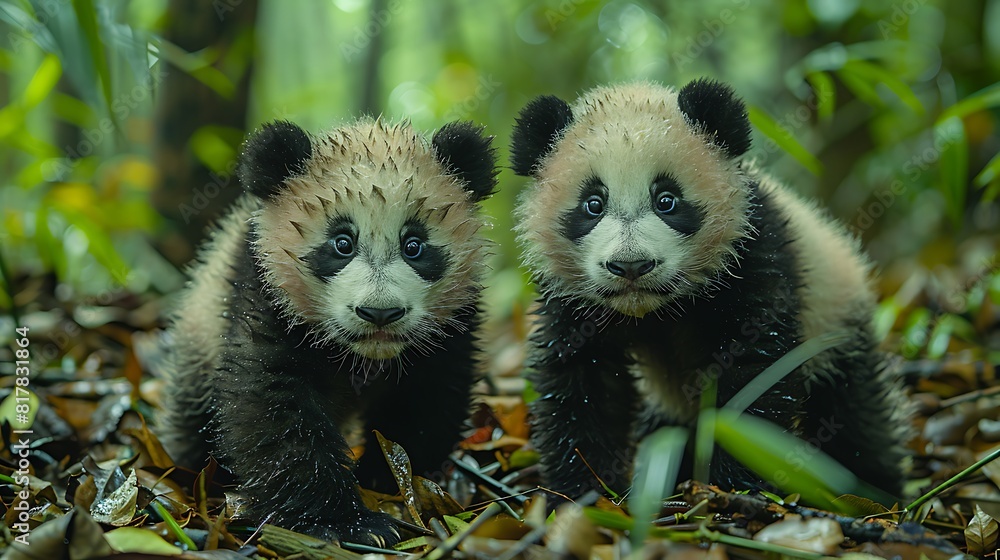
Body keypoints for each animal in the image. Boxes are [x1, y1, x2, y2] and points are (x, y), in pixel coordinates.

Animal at [156, 117, 497, 546]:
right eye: (342, 244)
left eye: (414, 245)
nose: (380, 313)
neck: (365, 357)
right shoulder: (267, 297)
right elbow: (273, 403)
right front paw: (349, 523)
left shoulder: (450, 327)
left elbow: (428, 399)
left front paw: (383, 480)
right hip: (201, 328)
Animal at [510, 79, 911, 500]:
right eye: (593, 204)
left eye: (666, 200)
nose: (631, 265)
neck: (656, 309)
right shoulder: (573, 302)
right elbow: (584, 381)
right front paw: (583, 491)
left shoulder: (752, 259)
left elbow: (754, 373)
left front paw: (735, 486)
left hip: (833, 321)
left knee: (855, 417)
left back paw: (872, 488)